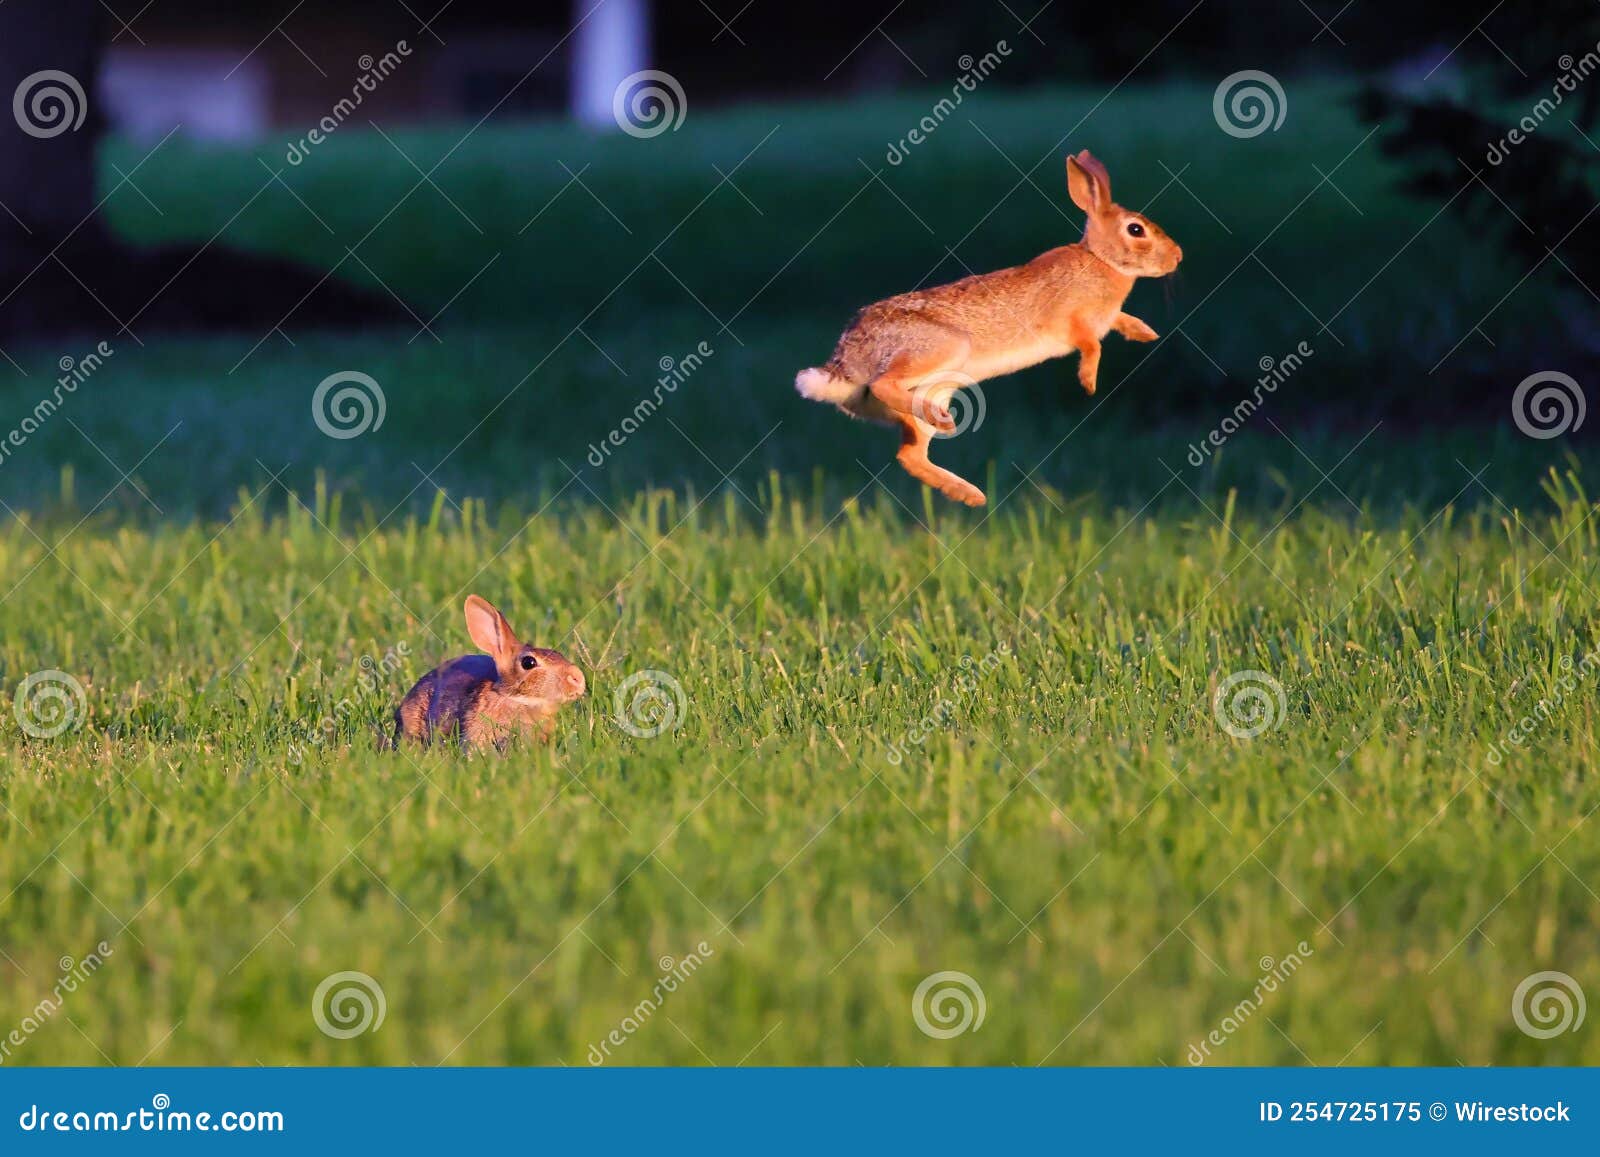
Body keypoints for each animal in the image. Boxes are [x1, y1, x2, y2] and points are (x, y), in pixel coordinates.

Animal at [794, 150, 1182, 507]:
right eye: (1136, 230)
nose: (1177, 256)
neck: (1101, 261)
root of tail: (845, 366)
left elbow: (1118, 321)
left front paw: (1145, 333)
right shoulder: (1069, 321)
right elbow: (1091, 345)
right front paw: (1088, 382)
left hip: (936, 389)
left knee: (910, 456)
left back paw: (970, 495)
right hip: (941, 350)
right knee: (885, 385)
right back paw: (947, 428)